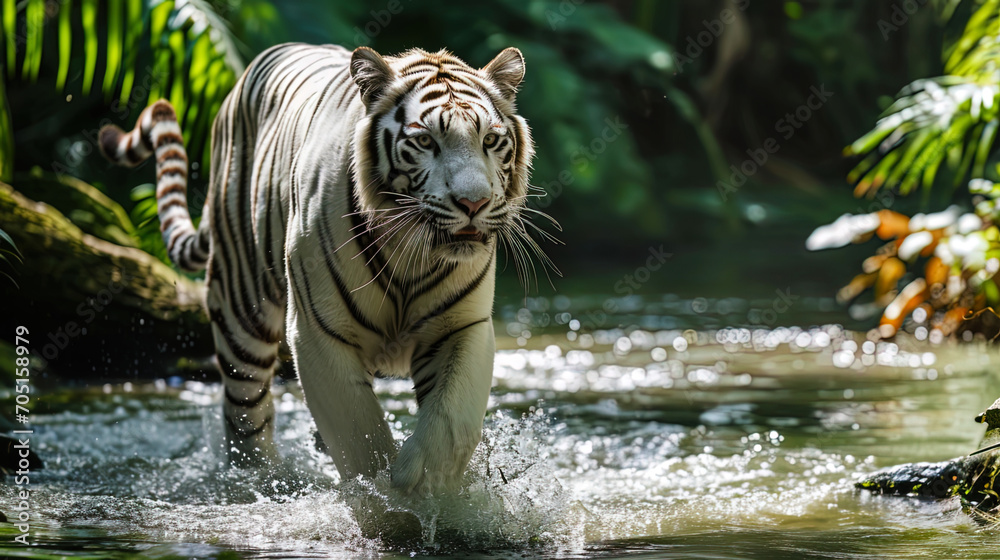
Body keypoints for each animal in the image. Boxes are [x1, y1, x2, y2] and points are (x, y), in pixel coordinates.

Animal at [97, 43, 545, 494]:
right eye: (424, 140)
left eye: (490, 140)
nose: (474, 204)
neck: (410, 255)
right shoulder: (318, 333)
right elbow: (360, 438)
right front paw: (382, 497)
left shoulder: (461, 328)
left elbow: (451, 423)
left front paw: (425, 489)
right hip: (242, 314)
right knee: (245, 420)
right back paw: (263, 478)